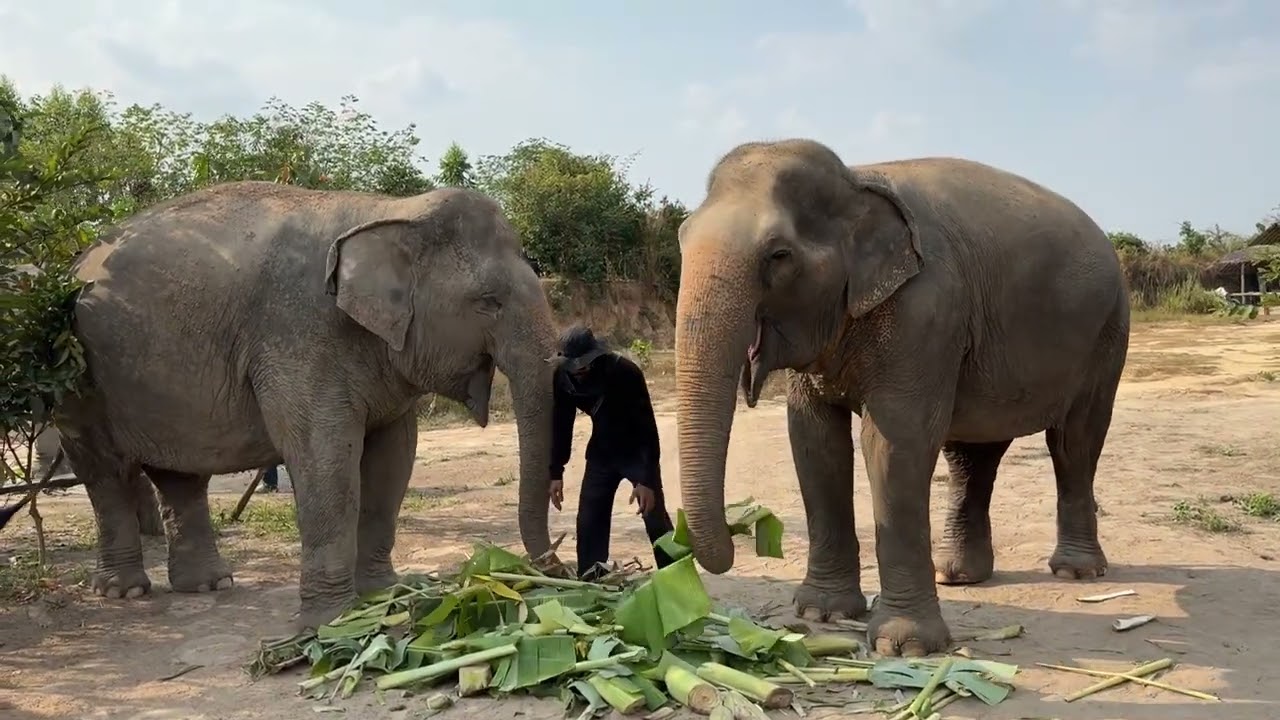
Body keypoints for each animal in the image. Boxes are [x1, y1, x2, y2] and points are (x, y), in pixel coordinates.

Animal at [56, 181, 559, 630]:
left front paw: (385, 596)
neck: (389, 210)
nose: (558, 571)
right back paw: (125, 590)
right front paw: (332, 623)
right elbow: (325, 456)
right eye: (489, 302)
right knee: (106, 473)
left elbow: (393, 459)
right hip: (77, 376)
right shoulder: (296, 337)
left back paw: (209, 585)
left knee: (180, 477)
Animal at [673, 139, 1130, 657]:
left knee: (1075, 442)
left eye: (779, 255)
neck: (856, 181)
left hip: (1108, 332)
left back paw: (1077, 571)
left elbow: (893, 444)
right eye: (682, 238)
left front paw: (904, 646)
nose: (740, 533)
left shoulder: (925, 309)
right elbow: (814, 441)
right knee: (973, 454)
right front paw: (821, 614)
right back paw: (957, 576)